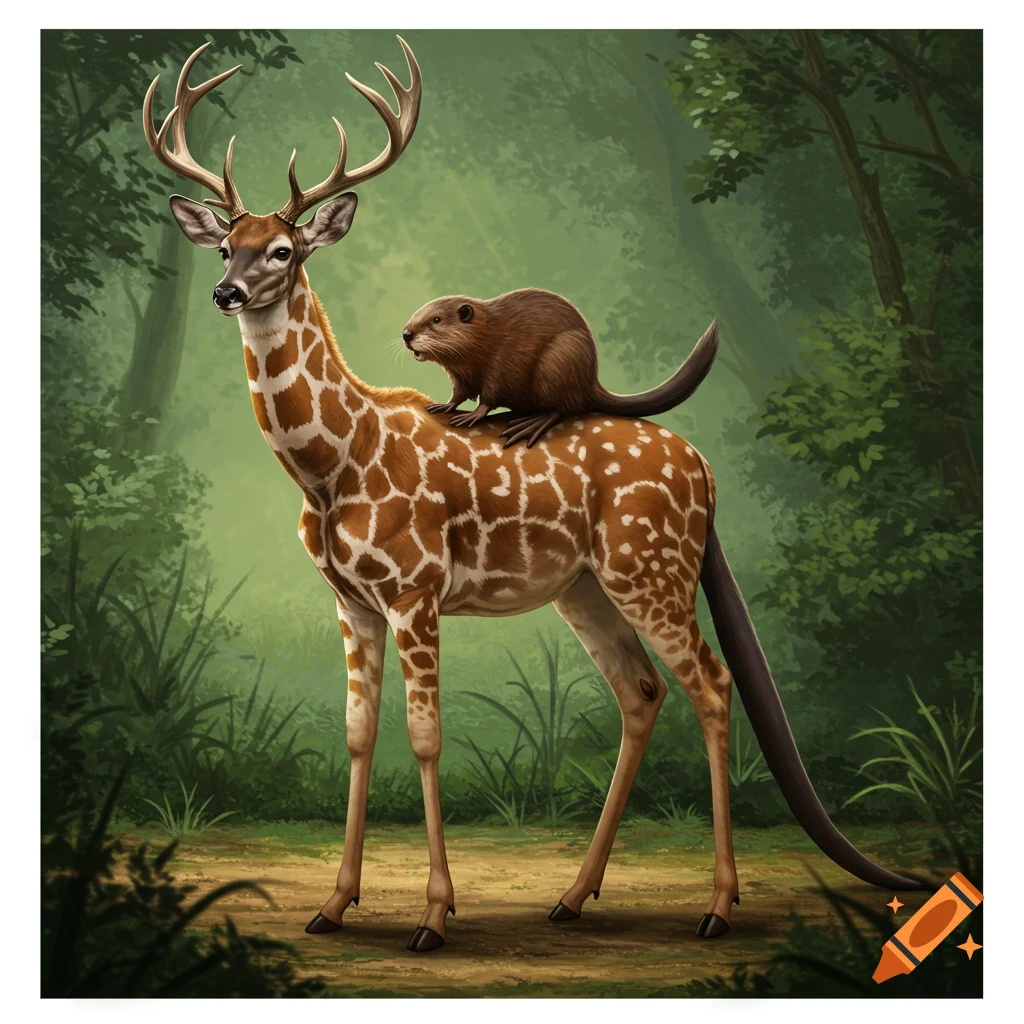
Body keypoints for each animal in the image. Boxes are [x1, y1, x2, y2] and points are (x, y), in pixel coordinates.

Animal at [142, 37, 926, 954]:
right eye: (224, 245)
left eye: (284, 250)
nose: (227, 292)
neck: (335, 464)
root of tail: (705, 468)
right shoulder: (350, 598)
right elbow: (358, 736)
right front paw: (334, 906)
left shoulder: (415, 587)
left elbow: (426, 737)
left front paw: (434, 916)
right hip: (583, 587)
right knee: (641, 691)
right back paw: (572, 896)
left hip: (650, 567)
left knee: (711, 681)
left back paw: (717, 905)